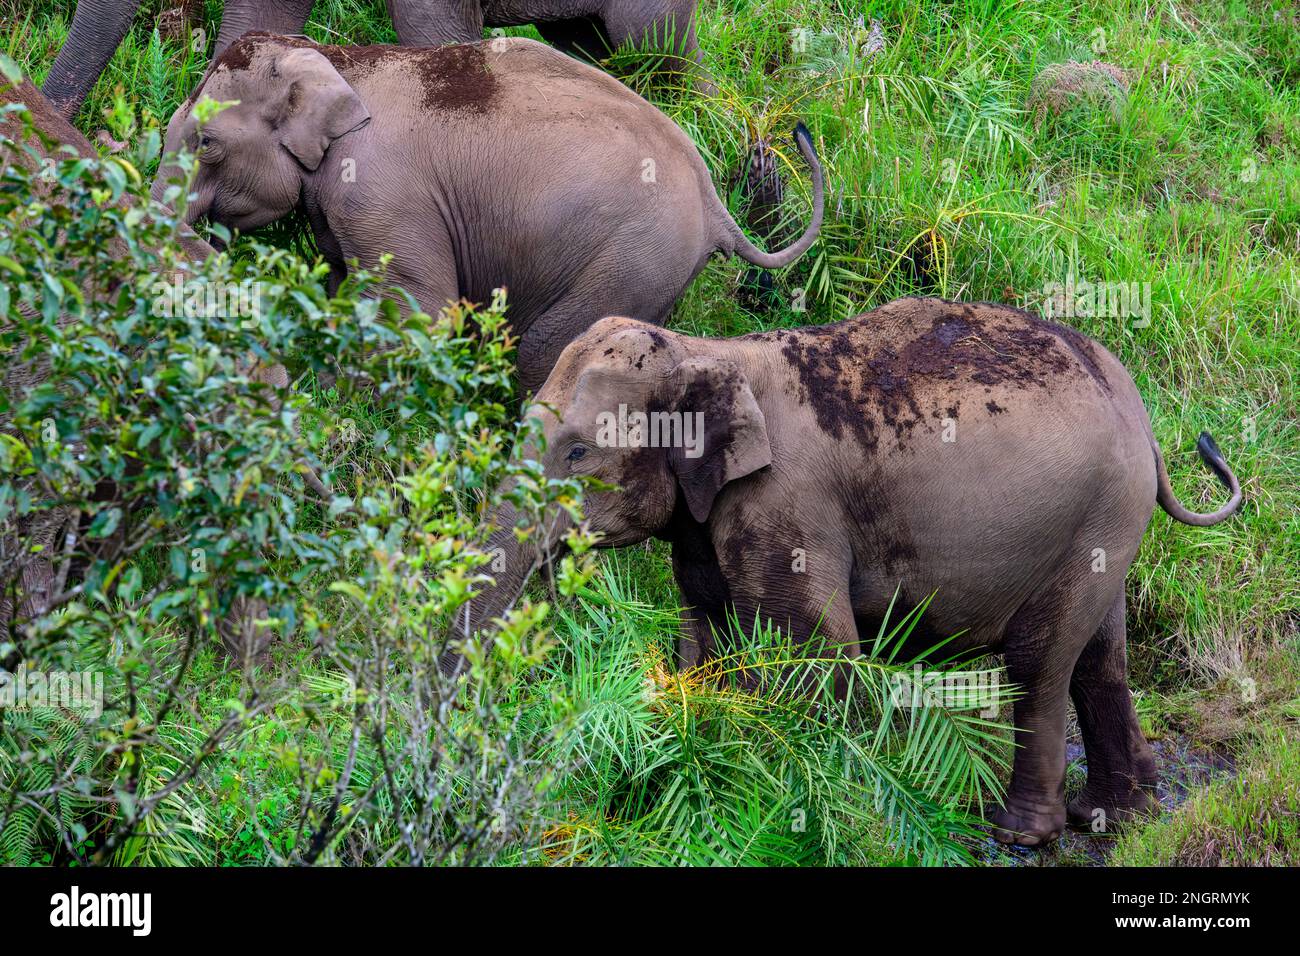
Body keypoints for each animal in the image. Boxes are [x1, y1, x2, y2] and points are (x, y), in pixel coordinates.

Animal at [151, 34, 824, 390]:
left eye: (207, 143)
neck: (337, 58)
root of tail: (714, 204)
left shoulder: (378, 187)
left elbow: (420, 312)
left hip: (632, 258)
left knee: (546, 352)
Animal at [456, 297, 1244, 846]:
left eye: (577, 452)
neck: (706, 352)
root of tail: (1142, 419)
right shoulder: (710, 514)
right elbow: (703, 639)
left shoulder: (786, 505)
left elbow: (817, 653)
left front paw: (795, 805)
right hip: (1106, 528)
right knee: (1100, 657)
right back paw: (1118, 814)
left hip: (1092, 516)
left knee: (1039, 661)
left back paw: (1022, 832)